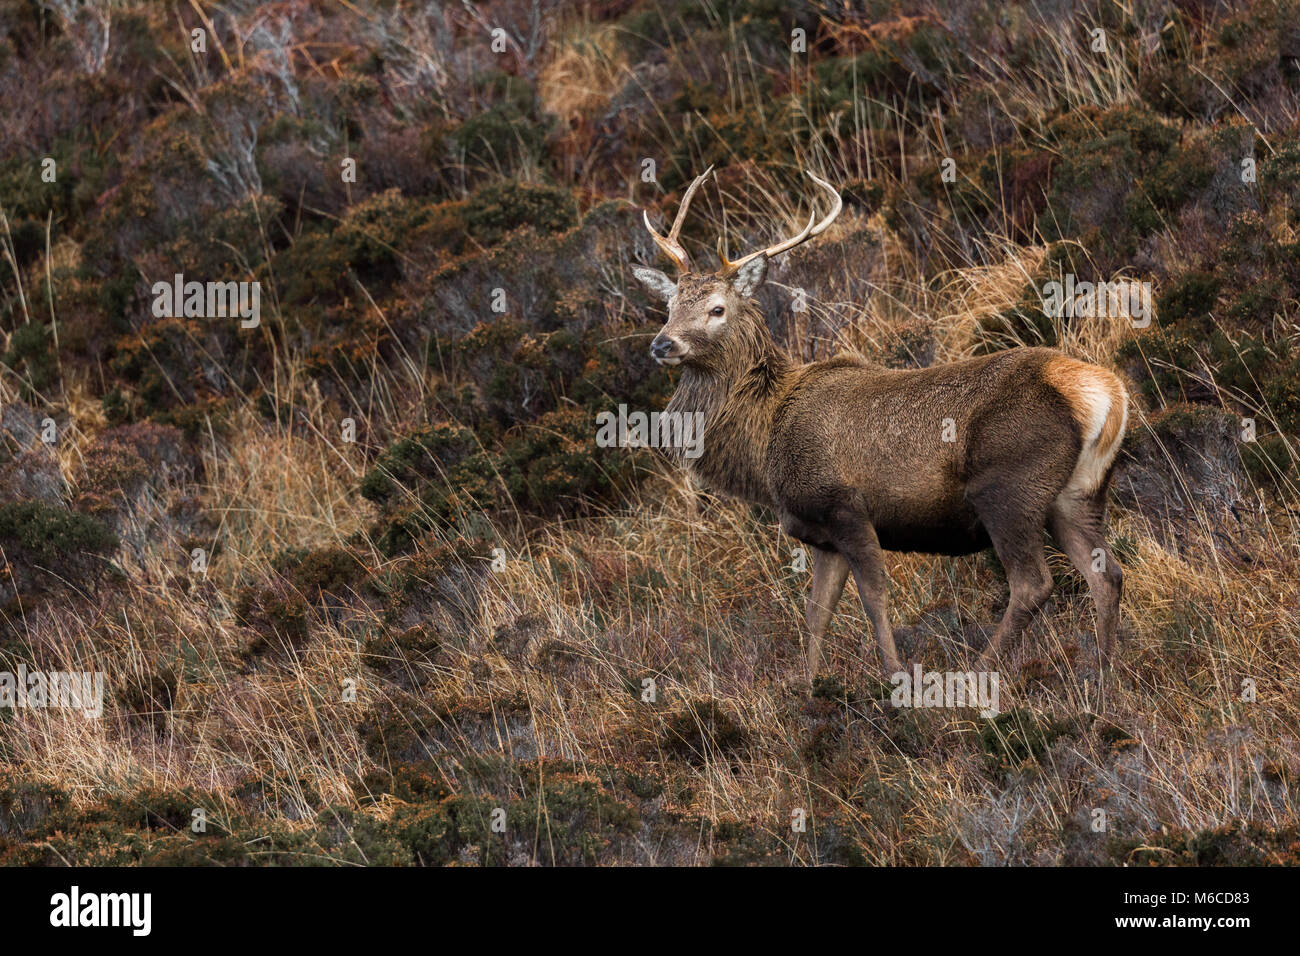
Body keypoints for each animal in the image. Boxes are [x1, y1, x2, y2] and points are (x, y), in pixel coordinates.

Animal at [631, 167, 1128, 680]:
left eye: (717, 308)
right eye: (669, 307)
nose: (662, 344)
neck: (765, 440)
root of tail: (1106, 394)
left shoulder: (845, 505)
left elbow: (874, 599)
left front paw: (893, 676)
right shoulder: (822, 533)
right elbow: (817, 611)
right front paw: (808, 686)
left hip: (1009, 487)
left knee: (1033, 583)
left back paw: (979, 671)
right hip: (1078, 493)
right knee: (1106, 574)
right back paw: (1104, 675)